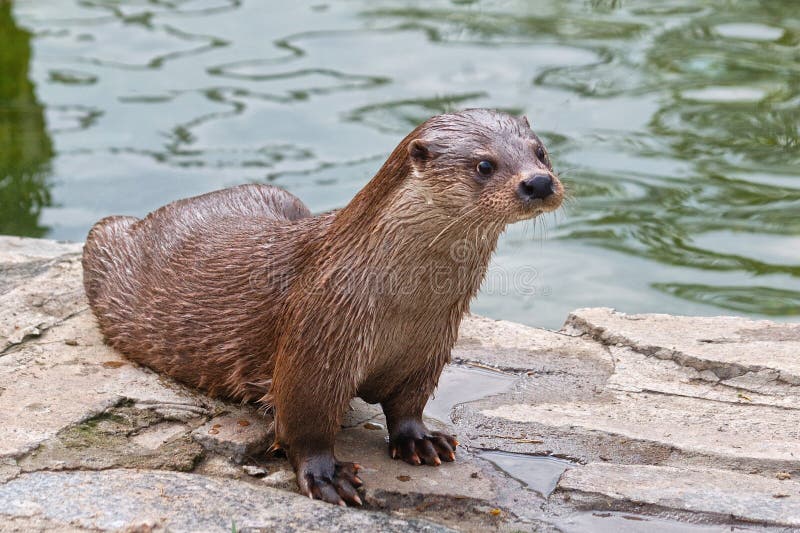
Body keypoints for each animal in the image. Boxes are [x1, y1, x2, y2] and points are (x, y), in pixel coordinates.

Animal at [82, 109, 564, 506]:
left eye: (540, 151)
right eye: (484, 165)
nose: (538, 181)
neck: (405, 309)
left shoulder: (429, 347)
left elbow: (409, 404)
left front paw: (420, 440)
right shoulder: (317, 340)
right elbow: (304, 421)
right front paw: (327, 476)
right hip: (105, 236)